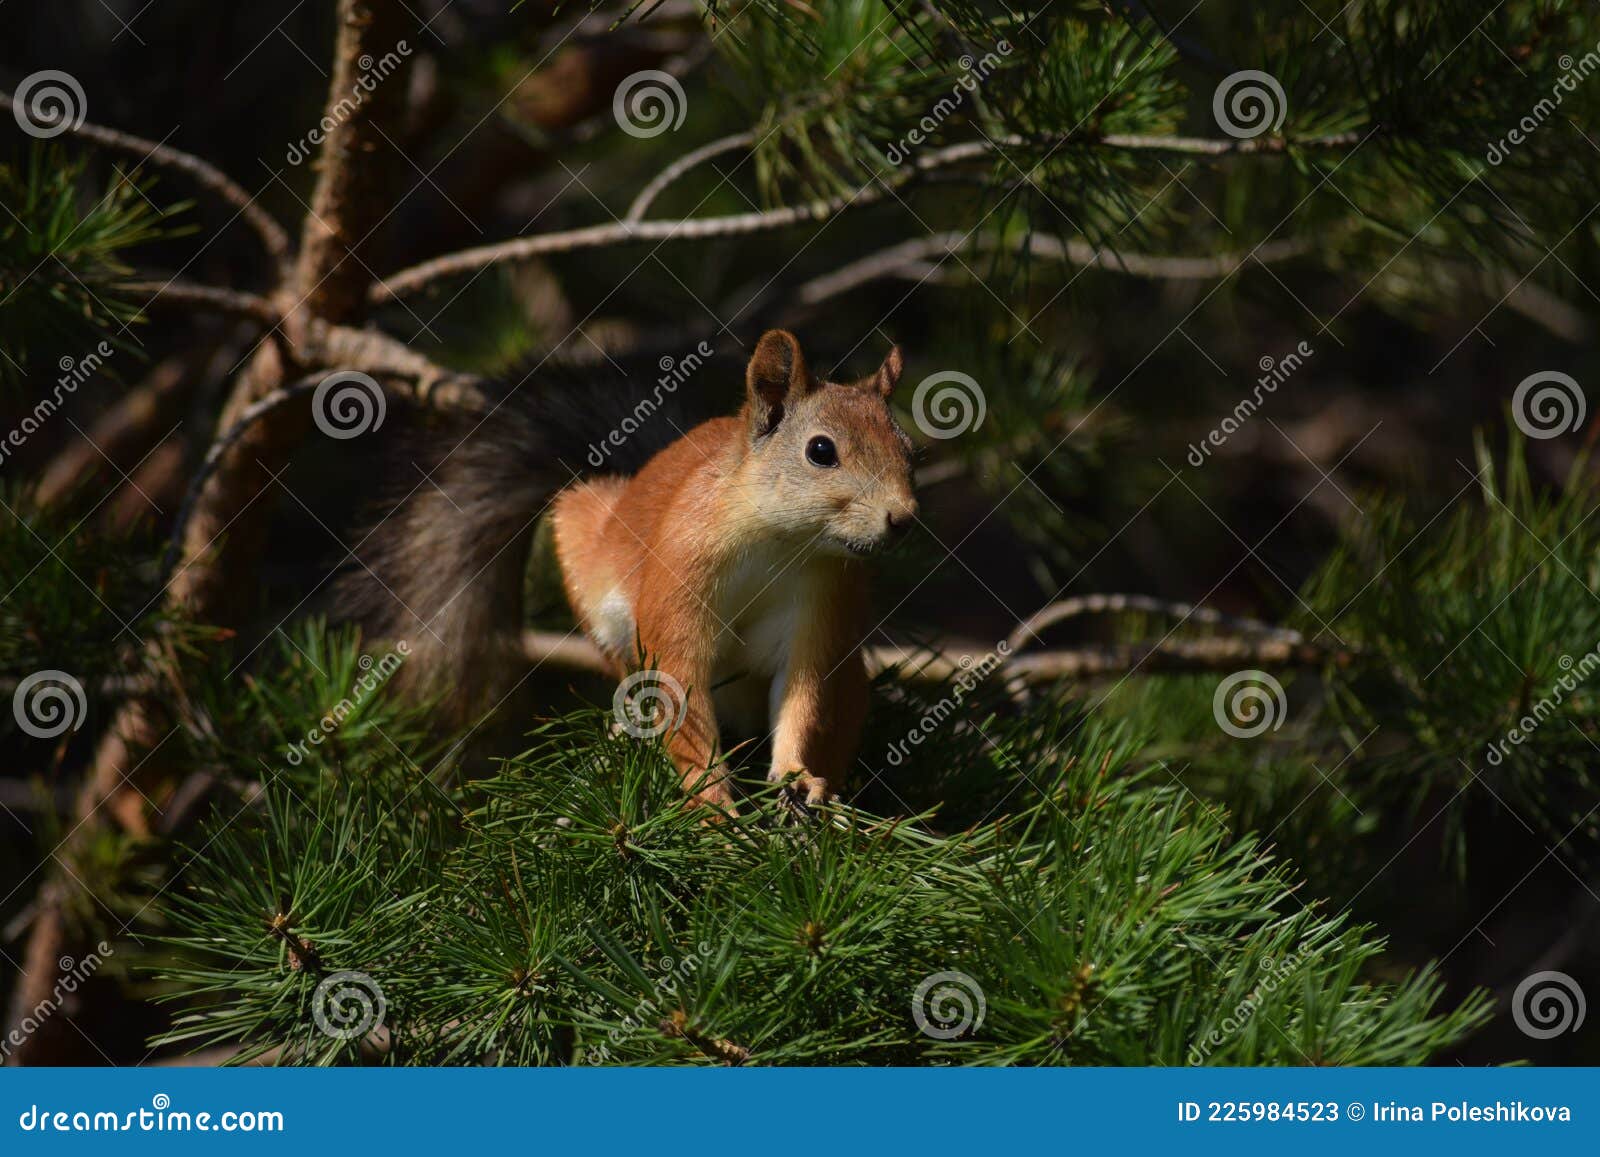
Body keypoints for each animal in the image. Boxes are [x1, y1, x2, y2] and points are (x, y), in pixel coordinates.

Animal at [343, 329, 916, 810]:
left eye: (909, 448)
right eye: (821, 450)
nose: (903, 518)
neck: (780, 543)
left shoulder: (822, 603)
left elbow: (803, 697)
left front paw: (798, 778)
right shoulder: (681, 575)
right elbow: (679, 687)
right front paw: (713, 811)